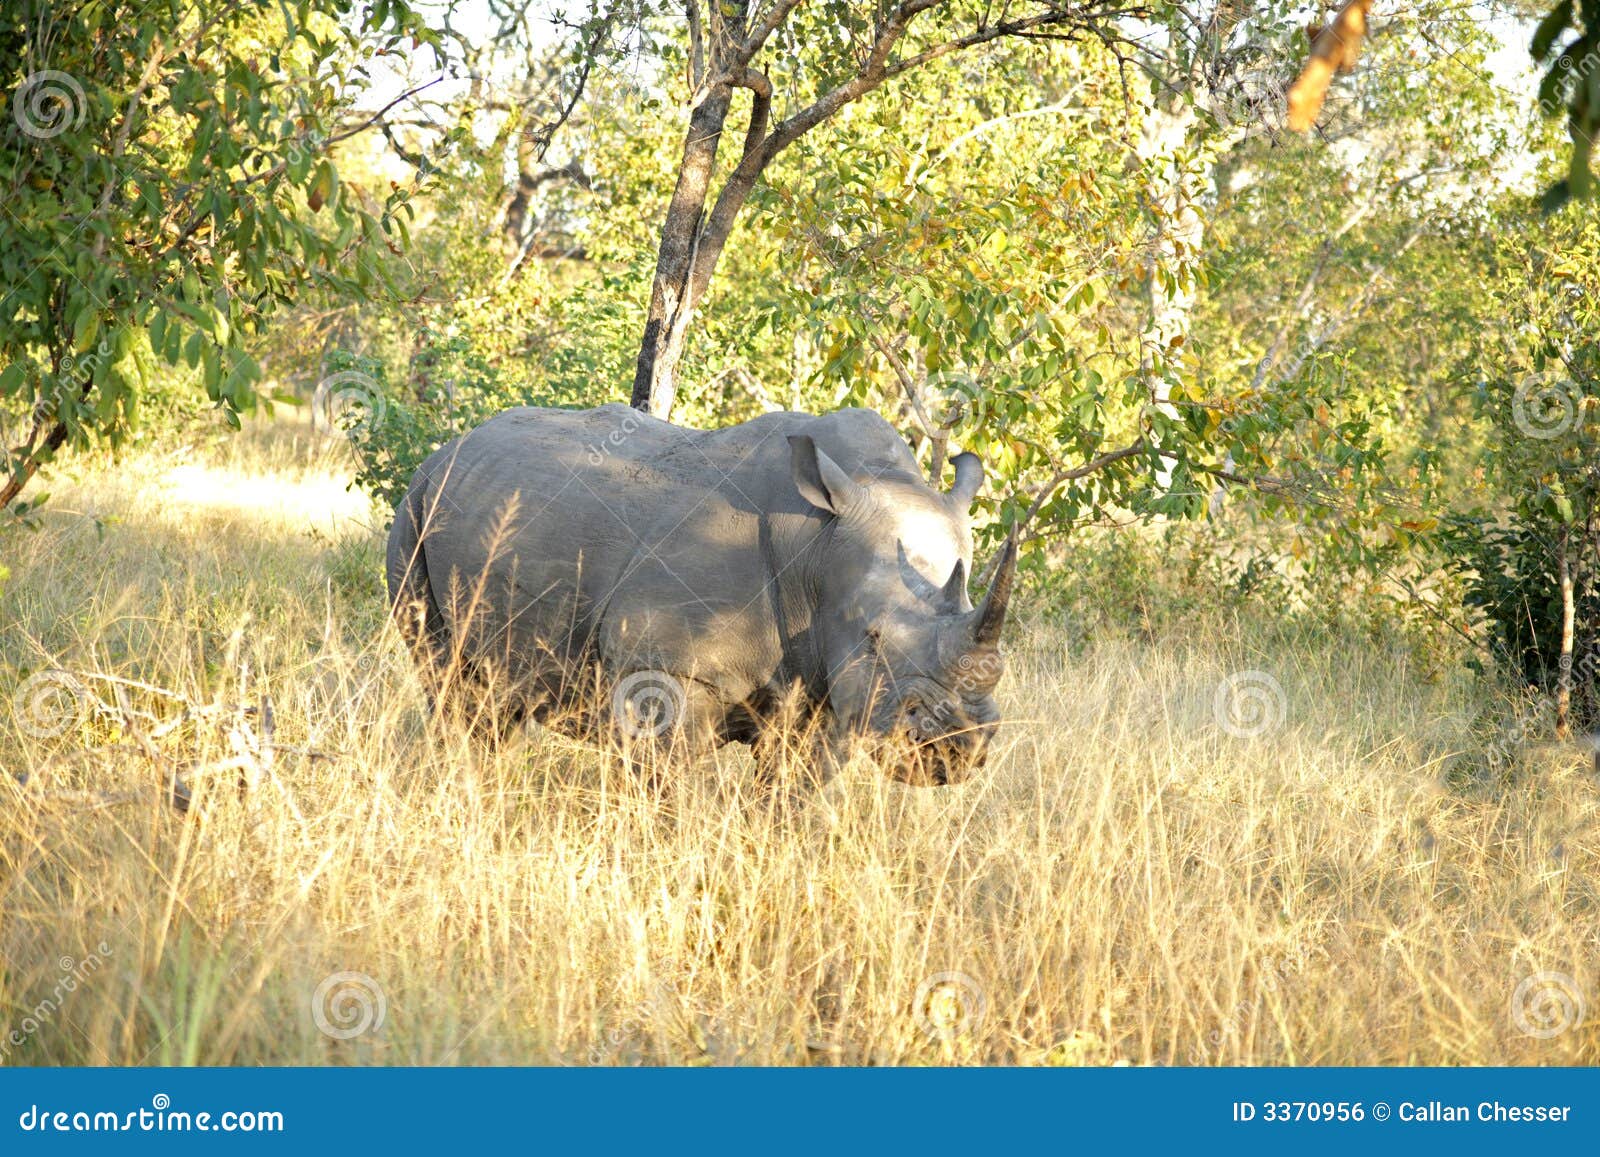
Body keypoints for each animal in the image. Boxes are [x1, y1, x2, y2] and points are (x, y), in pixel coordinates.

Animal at [384, 403, 1014, 786]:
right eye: (874, 636)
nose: (957, 750)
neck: (820, 546)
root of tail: (451, 446)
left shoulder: (828, 692)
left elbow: (789, 800)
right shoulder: (666, 669)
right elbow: (669, 792)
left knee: (497, 699)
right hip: (414, 509)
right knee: (449, 682)